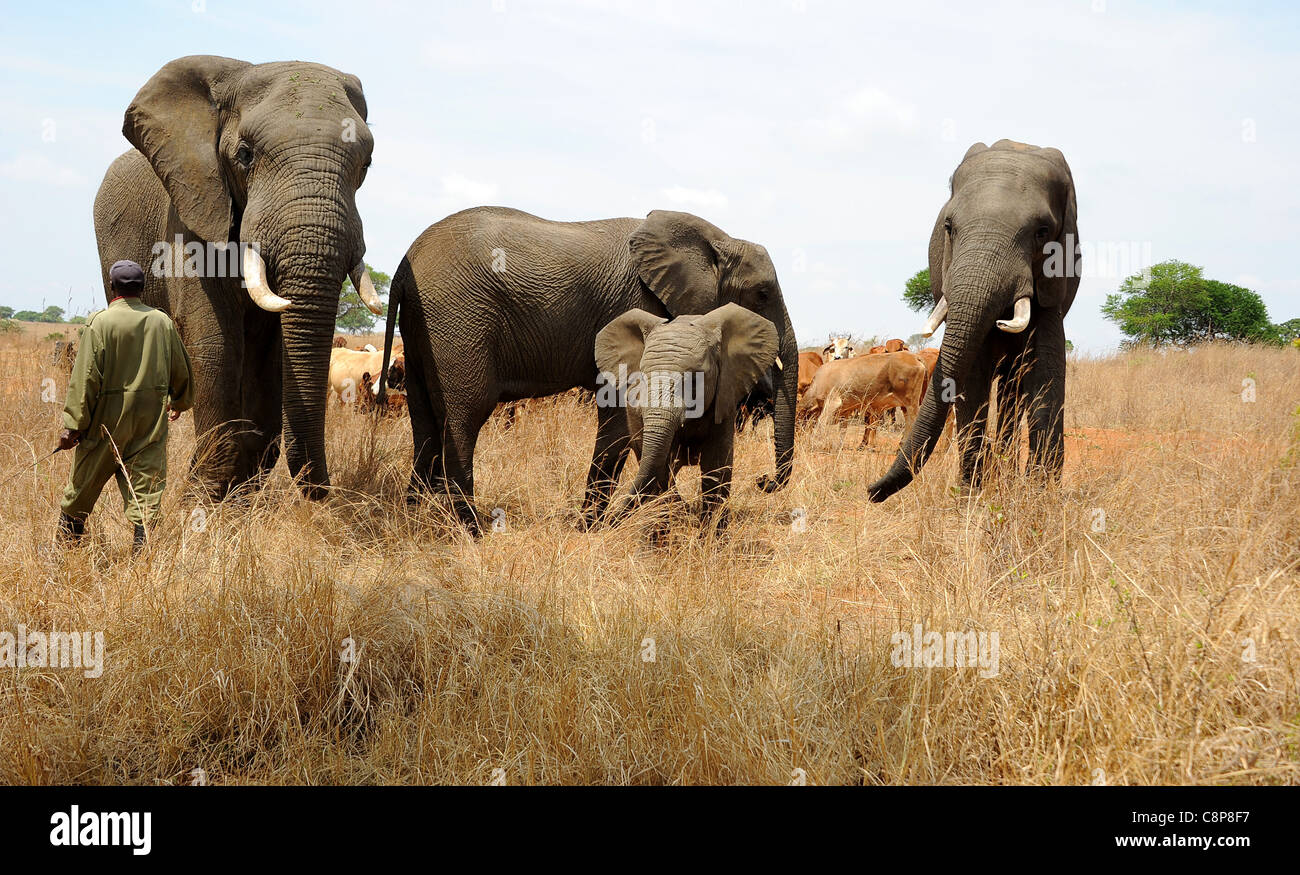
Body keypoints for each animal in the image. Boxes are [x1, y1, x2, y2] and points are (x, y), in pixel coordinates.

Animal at [93, 55, 380, 500]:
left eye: (366, 165)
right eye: (245, 155)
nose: (322, 492)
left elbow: (272, 354)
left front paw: (237, 498)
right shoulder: (192, 209)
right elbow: (216, 341)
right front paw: (203, 499)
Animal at [594, 303, 778, 525]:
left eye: (694, 380)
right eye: (642, 377)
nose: (762, 478)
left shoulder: (724, 397)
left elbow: (716, 468)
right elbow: (662, 470)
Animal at [868, 139, 1080, 501]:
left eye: (1042, 233)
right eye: (948, 228)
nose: (870, 490)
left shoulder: (1054, 282)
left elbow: (1046, 369)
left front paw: (1039, 495)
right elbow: (972, 372)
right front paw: (971, 494)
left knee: (1013, 388)